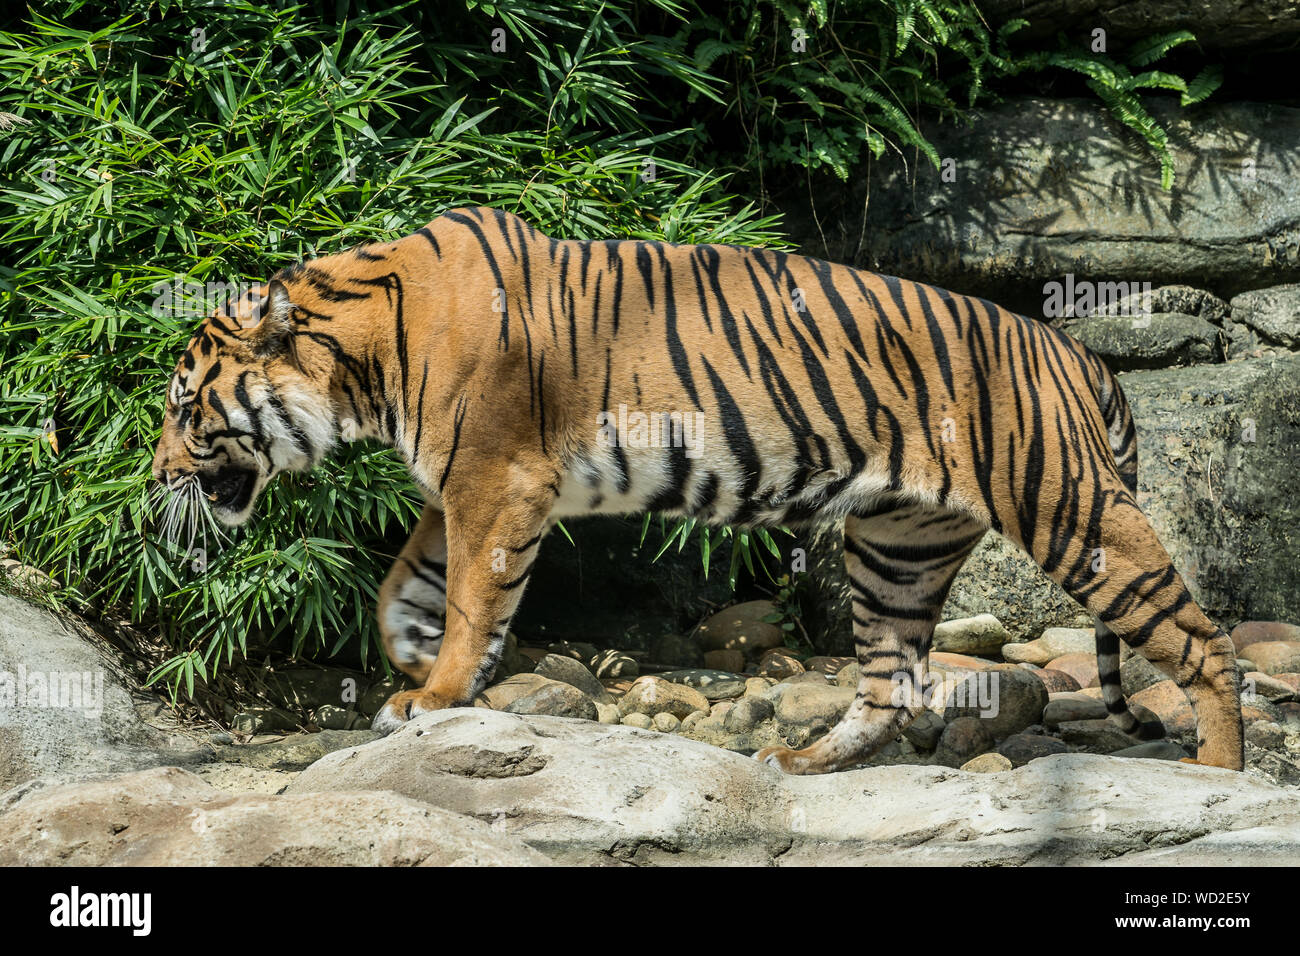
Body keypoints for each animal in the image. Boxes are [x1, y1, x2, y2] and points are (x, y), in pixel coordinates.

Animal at [150, 206, 1243, 774]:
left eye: (182, 404)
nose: (153, 477)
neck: (358, 365)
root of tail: (1072, 349)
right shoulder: (459, 486)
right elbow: (405, 585)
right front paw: (414, 664)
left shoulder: (495, 480)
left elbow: (469, 594)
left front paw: (440, 691)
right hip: (898, 546)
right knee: (890, 678)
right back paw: (803, 763)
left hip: (1069, 509)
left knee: (1202, 643)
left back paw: (1218, 774)